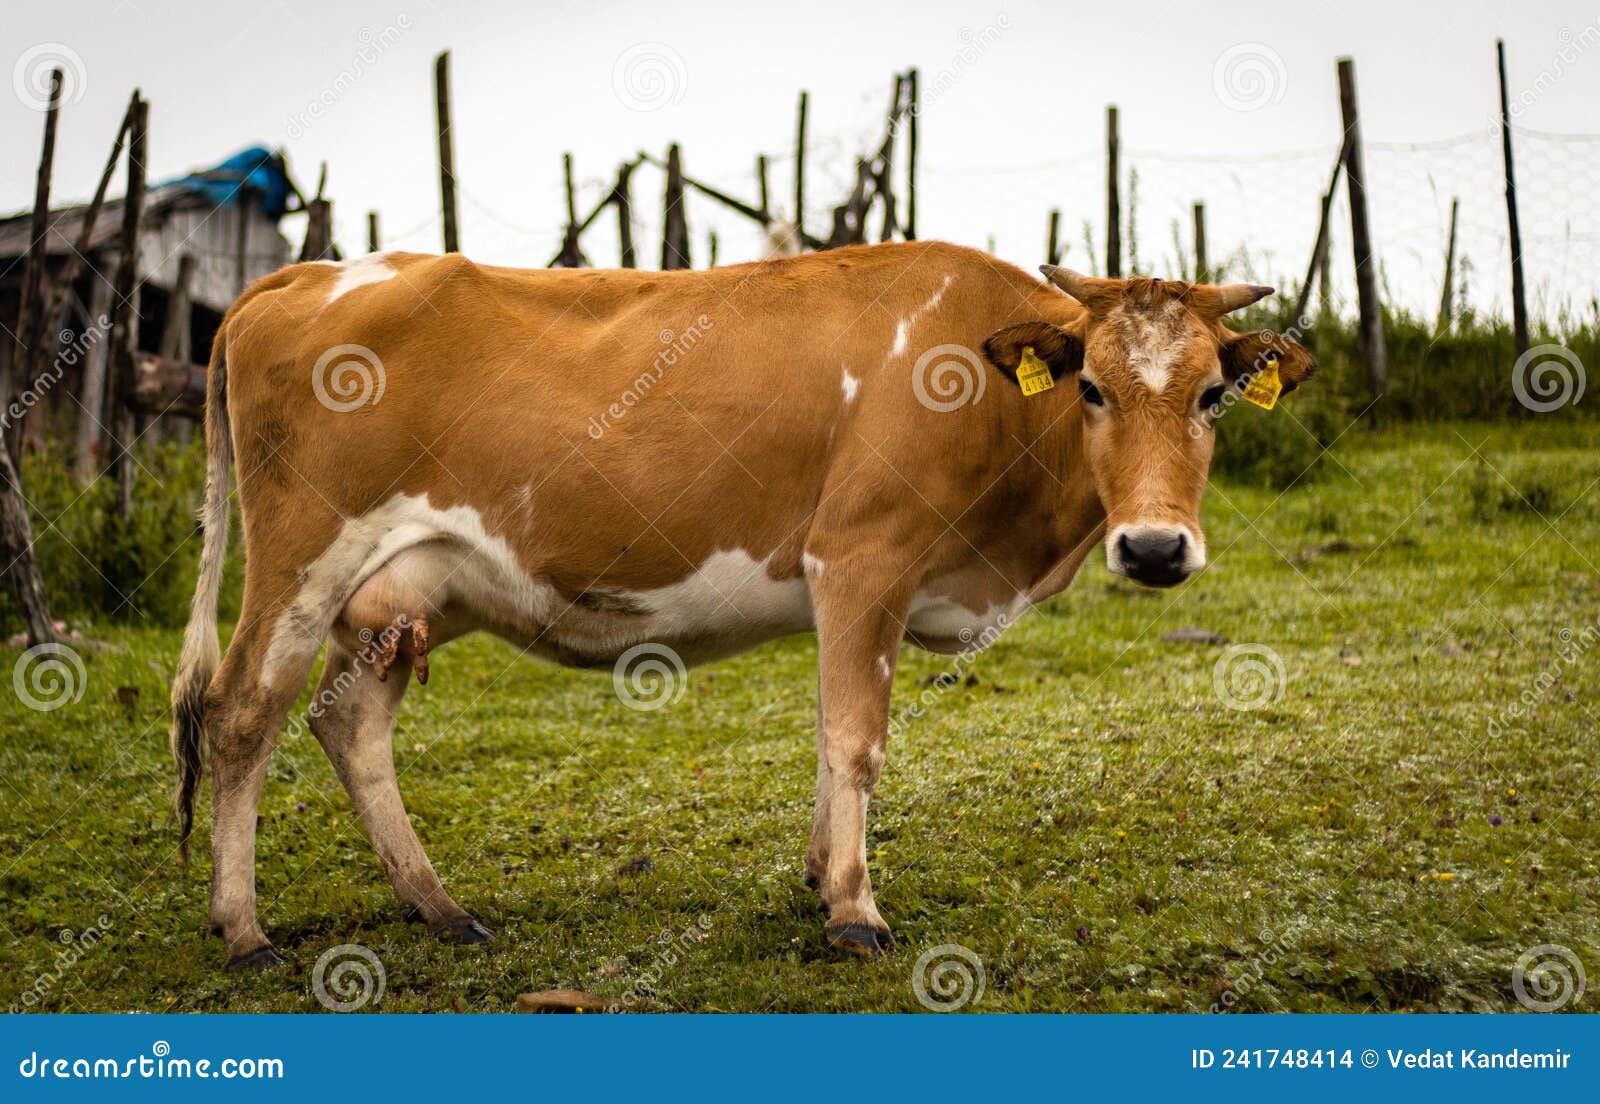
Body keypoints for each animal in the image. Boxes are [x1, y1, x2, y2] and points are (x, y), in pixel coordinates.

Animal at [169, 241, 1316, 968]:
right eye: (1090, 389)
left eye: (1213, 394)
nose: (1155, 547)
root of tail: (307, 274)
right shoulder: (860, 556)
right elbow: (856, 737)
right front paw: (854, 910)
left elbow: (824, 733)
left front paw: (818, 875)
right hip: (301, 562)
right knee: (241, 715)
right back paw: (245, 932)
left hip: (399, 596)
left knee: (347, 724)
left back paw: (440, 908)